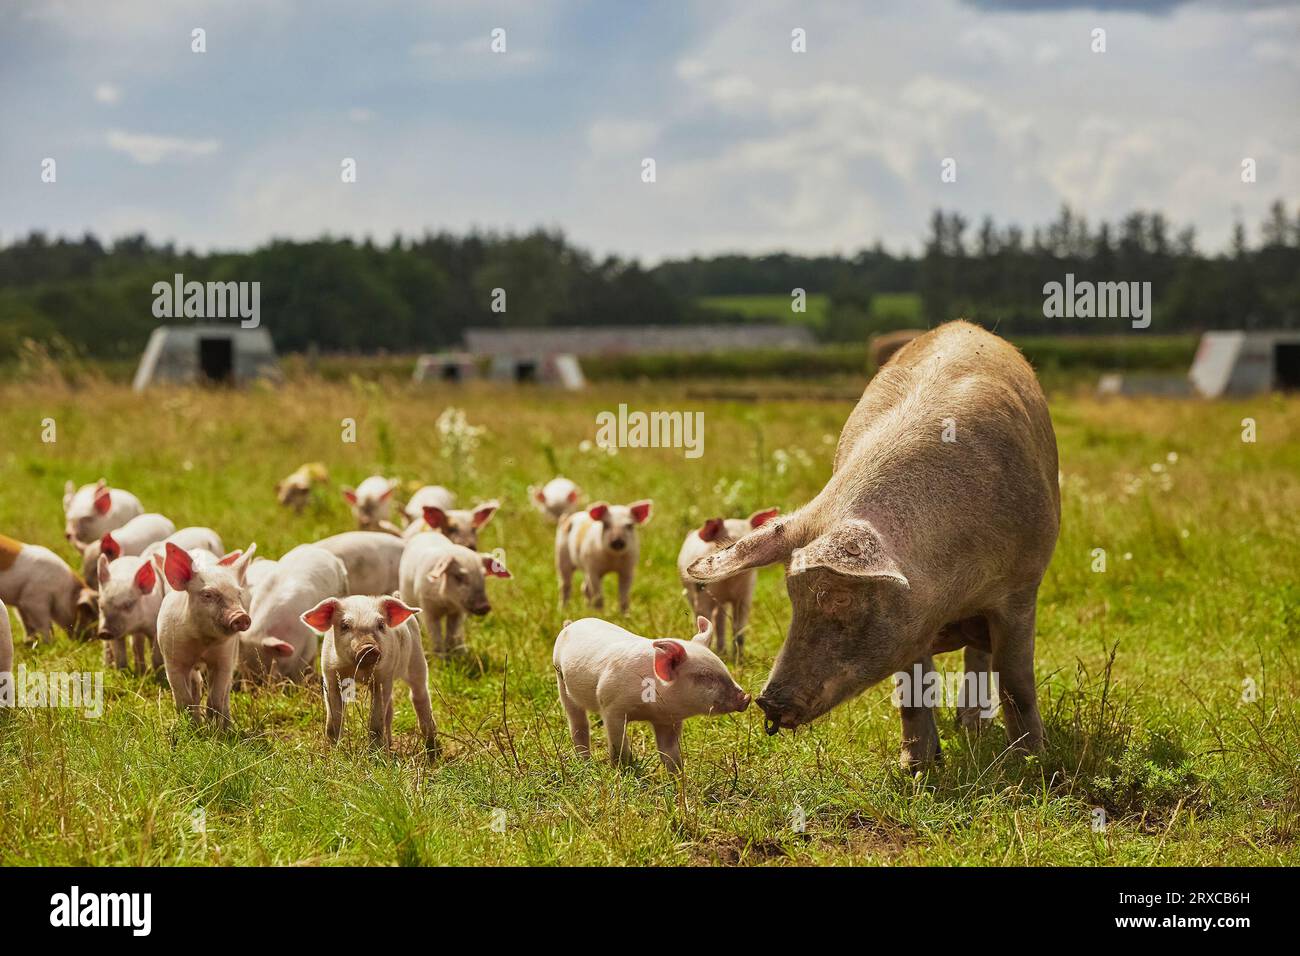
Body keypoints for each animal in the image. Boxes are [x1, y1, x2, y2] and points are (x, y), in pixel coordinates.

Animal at [156, 542, 256, 727]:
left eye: (238, 594)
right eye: (208, 595)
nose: (241, 616)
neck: (202, 642)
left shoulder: (224, 656)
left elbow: (216, 698)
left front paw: (215, 728)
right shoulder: (172, 658)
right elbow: (184, 699)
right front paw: (193, 727)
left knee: (225, 693)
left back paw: (229, 725)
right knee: (196, 683)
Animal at [301, 594, 439, 755]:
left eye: (381, 625)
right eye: (345, 626)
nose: (368, 648)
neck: (359, 671)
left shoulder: (383, 677)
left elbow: (376, 723)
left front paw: (374, 754)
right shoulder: (330, 675)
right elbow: (333, 722)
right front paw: (333, 752)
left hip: (417, 660)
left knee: (419, 696)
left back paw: (431, 747)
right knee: (390, 708)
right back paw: (389, 745)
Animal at [553, 615, 751, 772]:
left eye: (724, 667)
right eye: (705, 676)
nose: (746, 697)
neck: (649, 709)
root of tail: (571, 624)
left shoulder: (668, 720)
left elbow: (671, 753)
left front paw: (677, 779)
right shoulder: (611, 707)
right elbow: (619, 747)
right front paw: (623, 771)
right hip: (561, 681)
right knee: (578, 725)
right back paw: (585, 763)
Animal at [676, 508, 780, 661]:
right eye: (728, 542)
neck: (730, 582)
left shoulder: (745, 596)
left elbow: (739, 630)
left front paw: (739, 660)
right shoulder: (702, 595)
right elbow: (706, 621)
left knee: (720, 620)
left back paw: (723, 652)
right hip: (690, 593)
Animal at [687, 321, 1060, 769]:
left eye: (842, 599)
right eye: (794, 599)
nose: (768, 703)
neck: (949, 588)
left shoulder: (1022, 585)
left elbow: (1016, 680)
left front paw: (1032, 763)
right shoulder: (910, 622)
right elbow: (912, 692)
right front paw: (917, 769)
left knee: (980, 661)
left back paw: (975, 728)